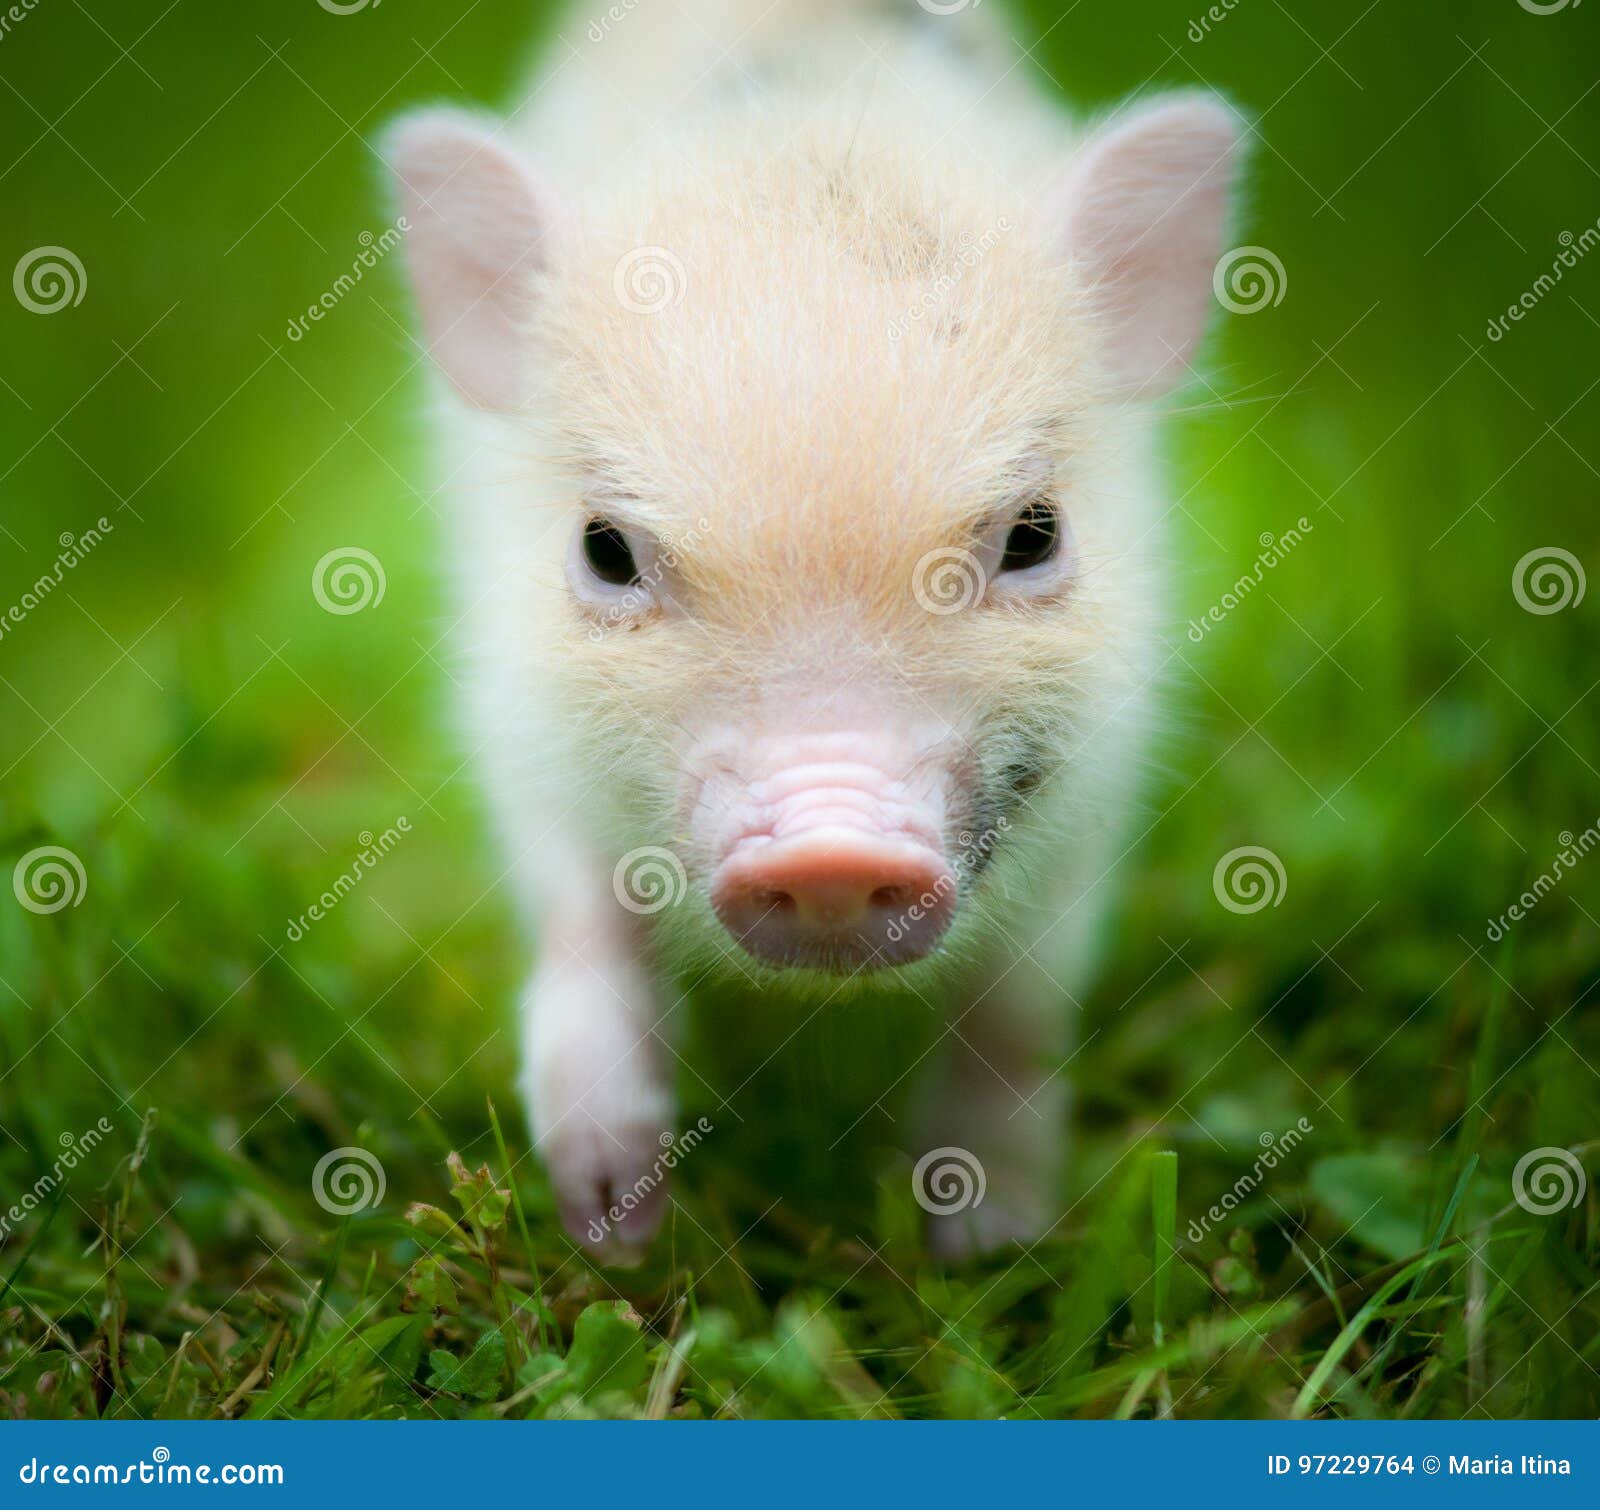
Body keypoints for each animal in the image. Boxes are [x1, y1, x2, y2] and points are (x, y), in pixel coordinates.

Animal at [385, 0, 1241, 1260]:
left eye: (1033, 533)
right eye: (605, 548)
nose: (831, 850)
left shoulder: (1105, 775)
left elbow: (1020, 1004)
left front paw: (982, 1244)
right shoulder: (515, 728)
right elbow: (581, 934)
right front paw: (615, 1232)